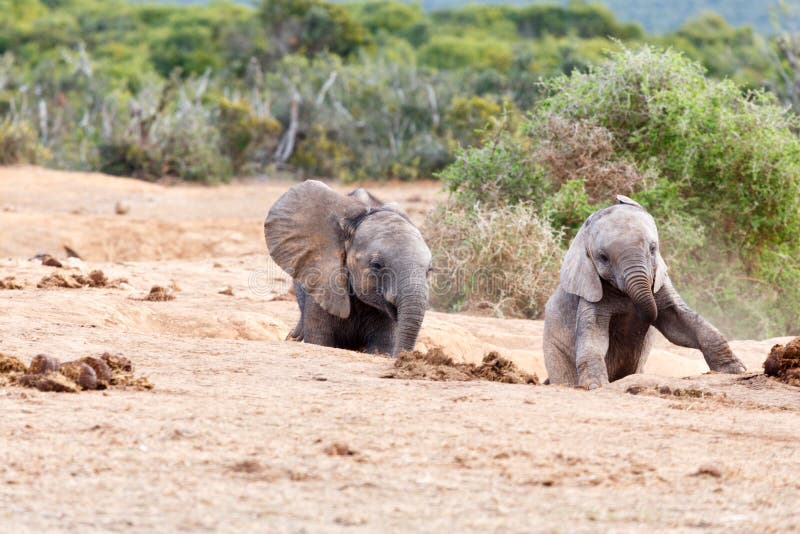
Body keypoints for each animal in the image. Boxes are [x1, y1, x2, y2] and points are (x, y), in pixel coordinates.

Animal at [543, 195, 746, 389]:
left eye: (653, 248)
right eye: (603, 258)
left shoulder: (659, 283)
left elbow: (678, 320)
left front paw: (736, 369)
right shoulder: (591, 290)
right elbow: (594, 333)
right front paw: (595, 385)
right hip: (554, 353)